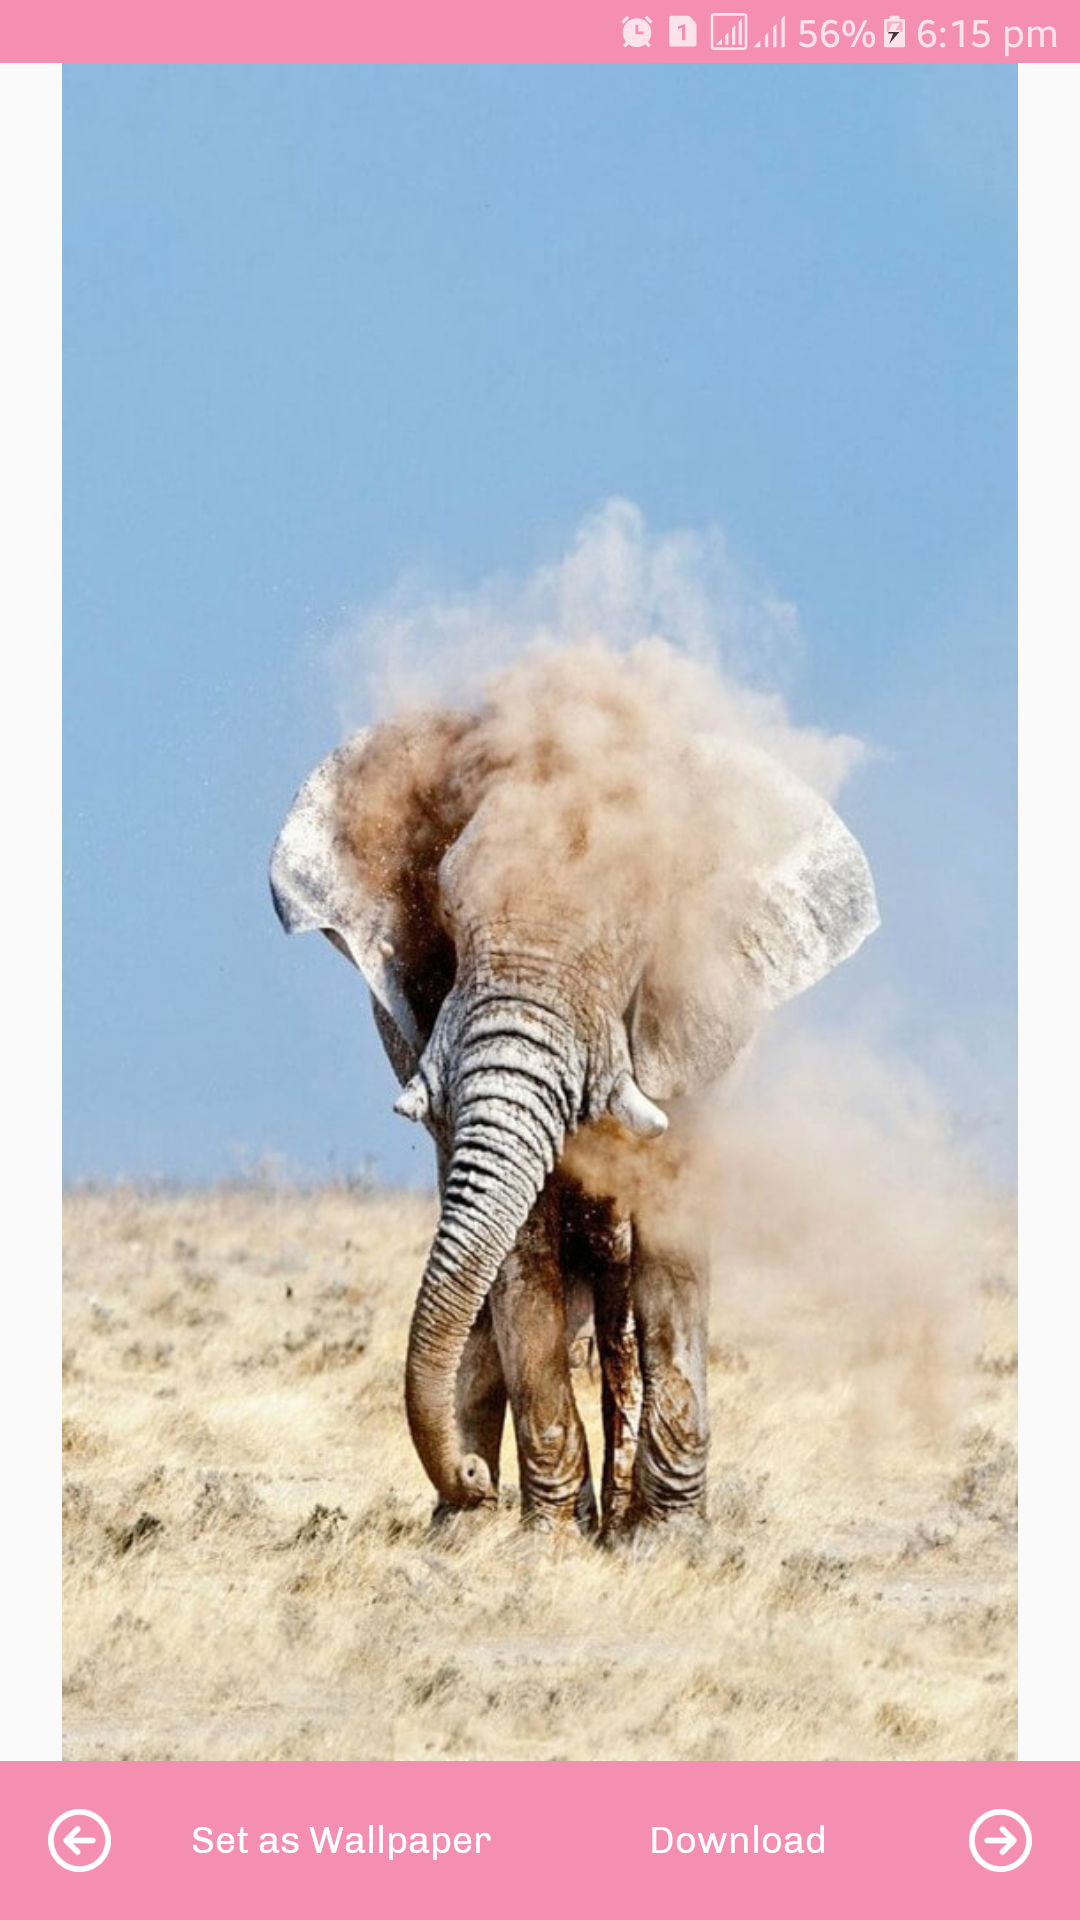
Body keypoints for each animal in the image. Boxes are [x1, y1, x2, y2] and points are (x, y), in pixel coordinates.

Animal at [269, 675, 879, 1538]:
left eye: (632, 934)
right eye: (447, 916)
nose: (468, 1478)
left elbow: (670, 1240)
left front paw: (665, 1542)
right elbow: (519, 1253)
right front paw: (548, 1542)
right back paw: (466, 1530)